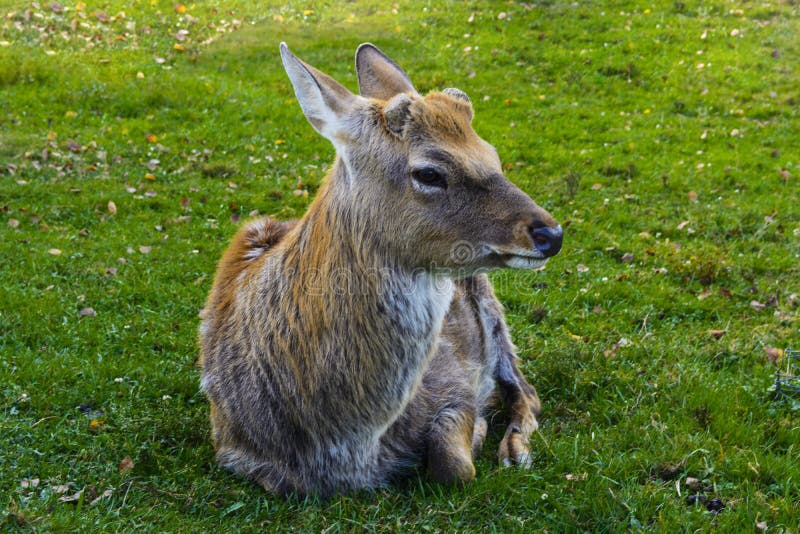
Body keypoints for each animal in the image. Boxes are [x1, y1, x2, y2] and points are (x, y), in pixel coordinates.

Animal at [198, 42, 563, 498]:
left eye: (493, 156)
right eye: (429, 172)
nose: (552, 233)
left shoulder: (455, 380)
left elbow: (454, 465)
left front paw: (478, 432)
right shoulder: (231, 448)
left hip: (490, 308)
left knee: (526, 390)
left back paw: (515, 450)